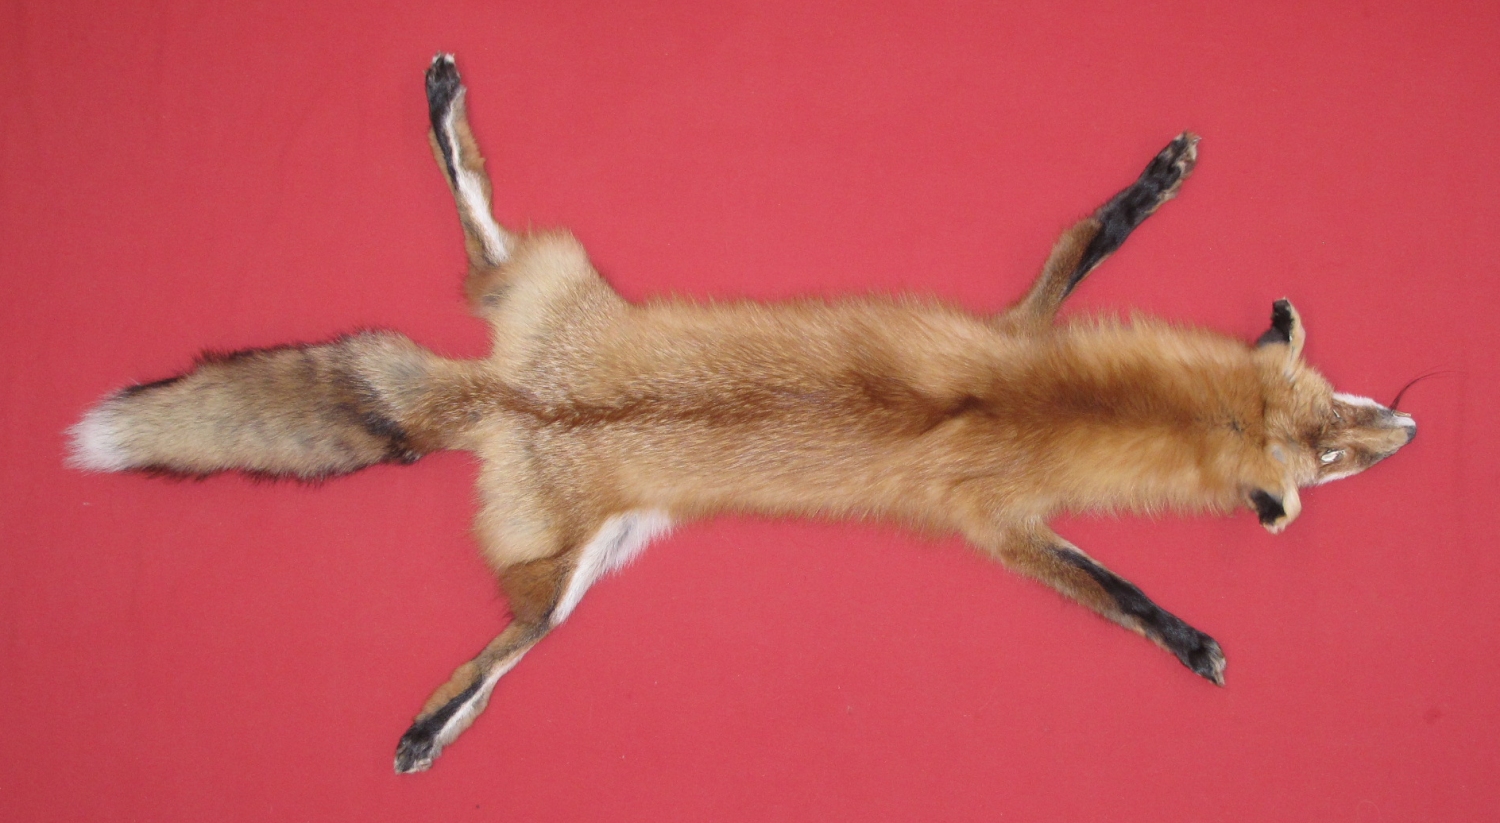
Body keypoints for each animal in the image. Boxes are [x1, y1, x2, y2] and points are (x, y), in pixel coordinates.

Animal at [67, 55, 1417, 774]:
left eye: (1346, 412)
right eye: (1332, 463)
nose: (1408, 432)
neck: (1046, 395)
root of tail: (507, 396)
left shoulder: (1025, 327)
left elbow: (1093, 232)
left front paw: (1161, 178)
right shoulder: (1005, 509)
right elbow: (1119, 589)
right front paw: (1190, 640)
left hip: (568, 356)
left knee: (491, 260)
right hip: (568, 565)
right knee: (519, 628)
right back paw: (433, 722)